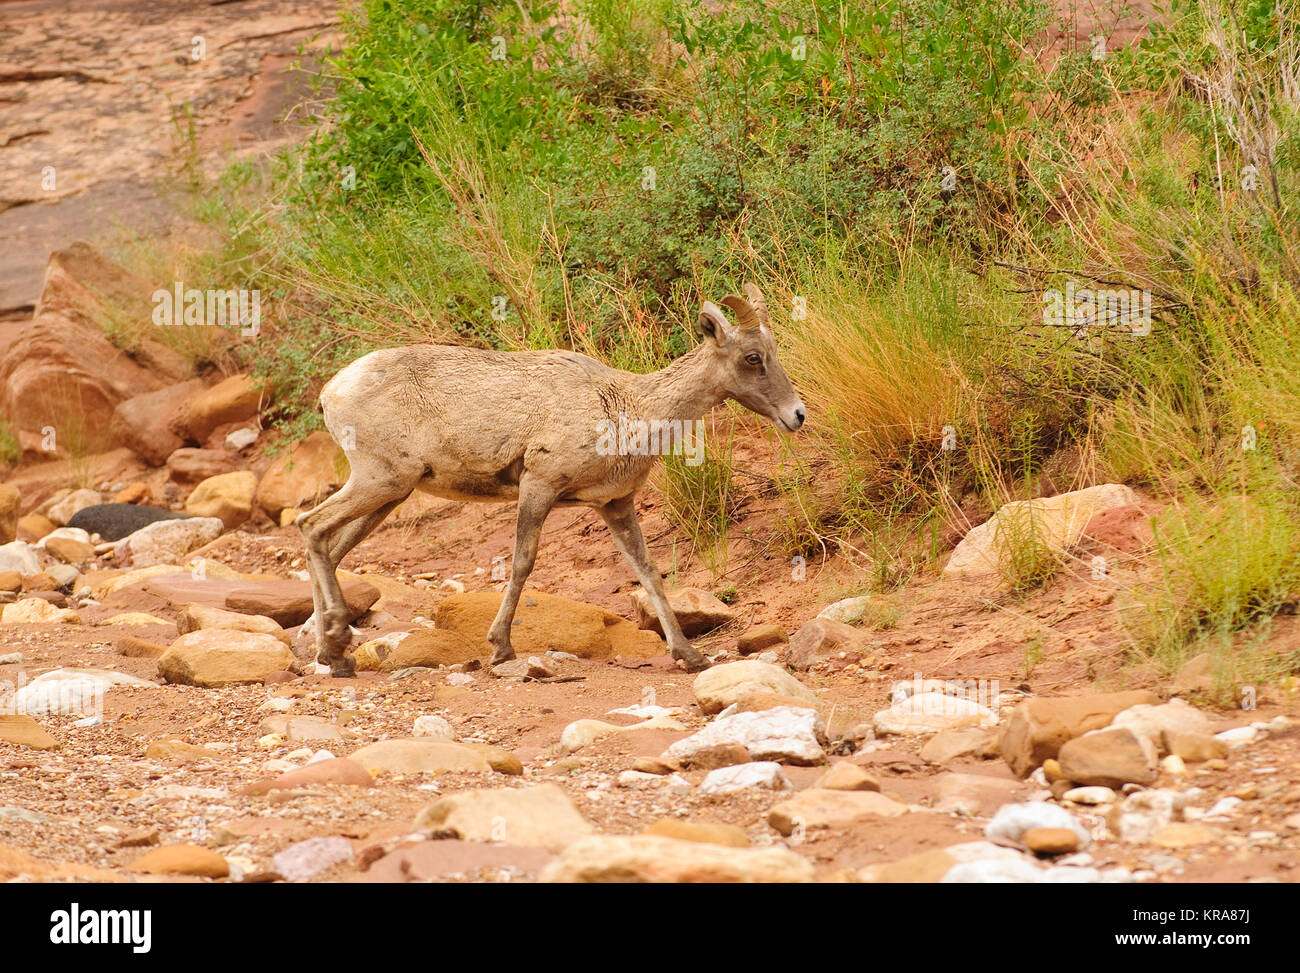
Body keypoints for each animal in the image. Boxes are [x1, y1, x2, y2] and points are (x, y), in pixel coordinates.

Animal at [298, 283, 805, 676]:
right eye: (753, 357)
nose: (796, 415)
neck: (627, 408)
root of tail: (331, 393)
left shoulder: (615, 504)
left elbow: (648, 571)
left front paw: (690, 656)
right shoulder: (538, 487)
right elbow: (523, 563)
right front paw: (501, 648)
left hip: (389, 495)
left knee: (328, 545)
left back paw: (330, 654)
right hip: (379, 481)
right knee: (311, 526)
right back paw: (336, 648)